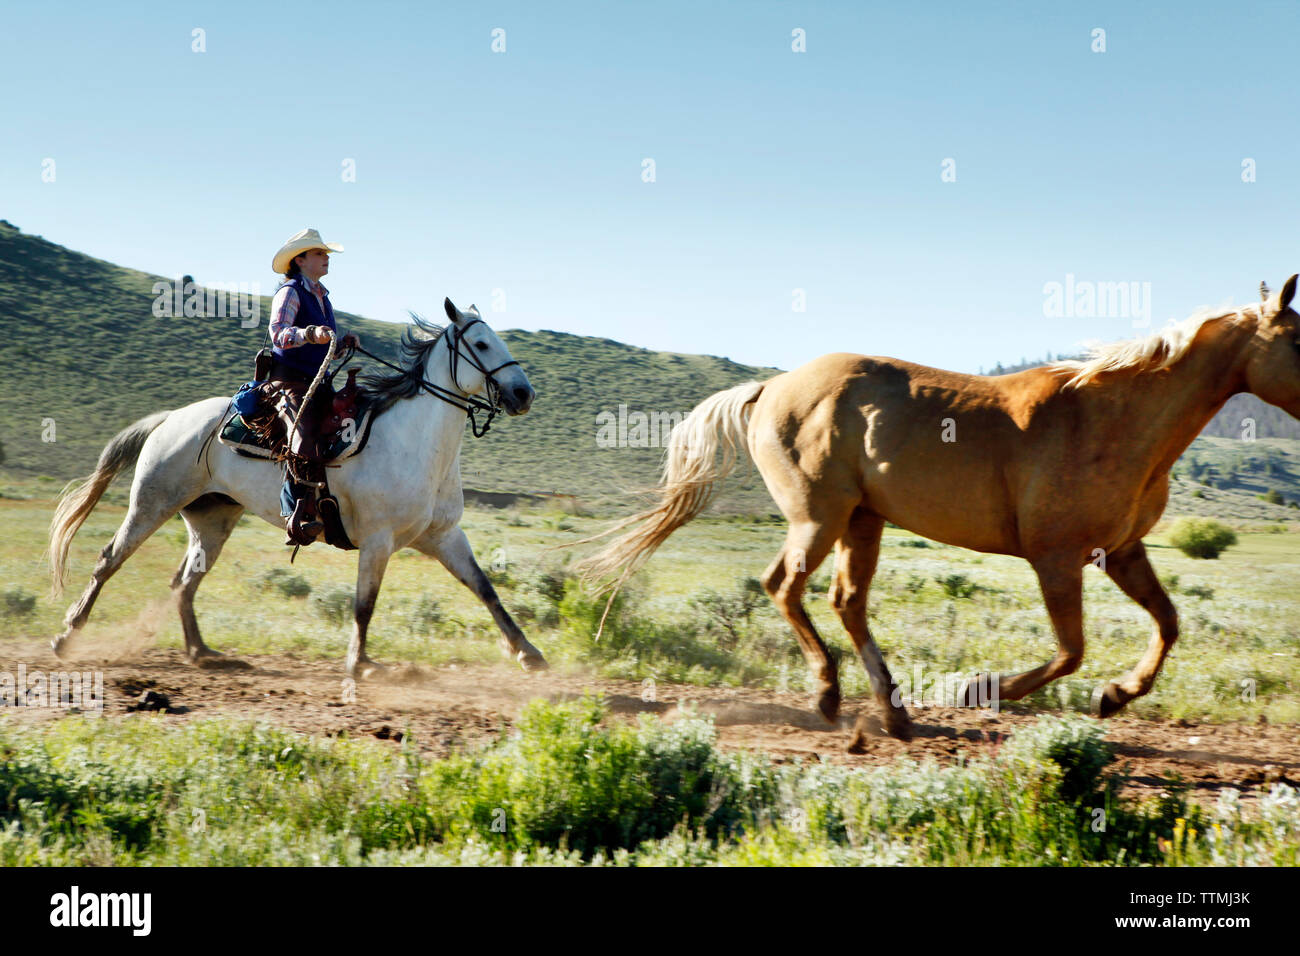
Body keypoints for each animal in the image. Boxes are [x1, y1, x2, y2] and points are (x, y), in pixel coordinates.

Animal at [48, 298, 548, 678]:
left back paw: (201, 652)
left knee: (184, 581)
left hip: (212, 519)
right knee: (109, 559)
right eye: (481, 344)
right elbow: (364, 605)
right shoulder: (378, 541)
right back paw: (68, 635)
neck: (416, 443)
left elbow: (486, 589)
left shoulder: (444, 536)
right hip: (153, 503)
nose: (523, 394)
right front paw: (360, 663)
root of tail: (171, 418)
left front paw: (529, 653)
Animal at [579, 276, 1300, 747]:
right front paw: (977, 693)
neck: (1109, 419)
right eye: (1298, 340)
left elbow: (1167, 624)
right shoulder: (1056, 558)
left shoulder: (1121, 551)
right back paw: (829, 696)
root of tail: (771, 388)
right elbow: (1070, 650)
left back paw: (893, 713)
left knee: (846, 601)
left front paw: (1114, 697)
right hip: (820, 517)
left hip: (862, 521)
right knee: (785, 586)